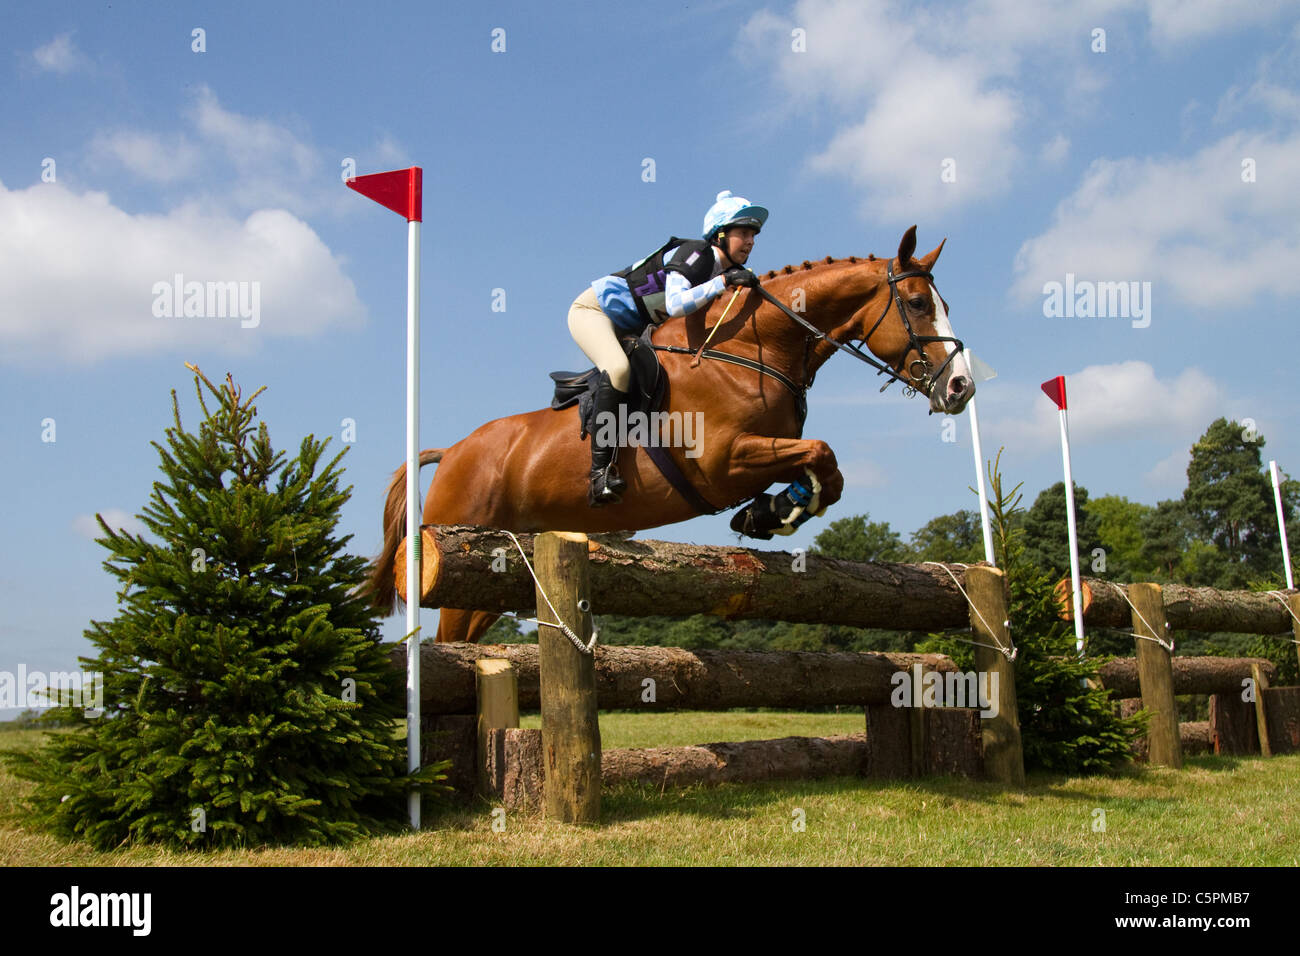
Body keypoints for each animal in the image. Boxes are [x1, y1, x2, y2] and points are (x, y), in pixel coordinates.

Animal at [367, 226, 974, 643]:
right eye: (917, 304)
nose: (961, 387)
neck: (752, 346)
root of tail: (452, 452)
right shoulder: (723, 462)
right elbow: (822, 453)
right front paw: (777, 511)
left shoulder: (765, 453)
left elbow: (829, 470)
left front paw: (772, 513)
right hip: (457, 564)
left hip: (496, 577)